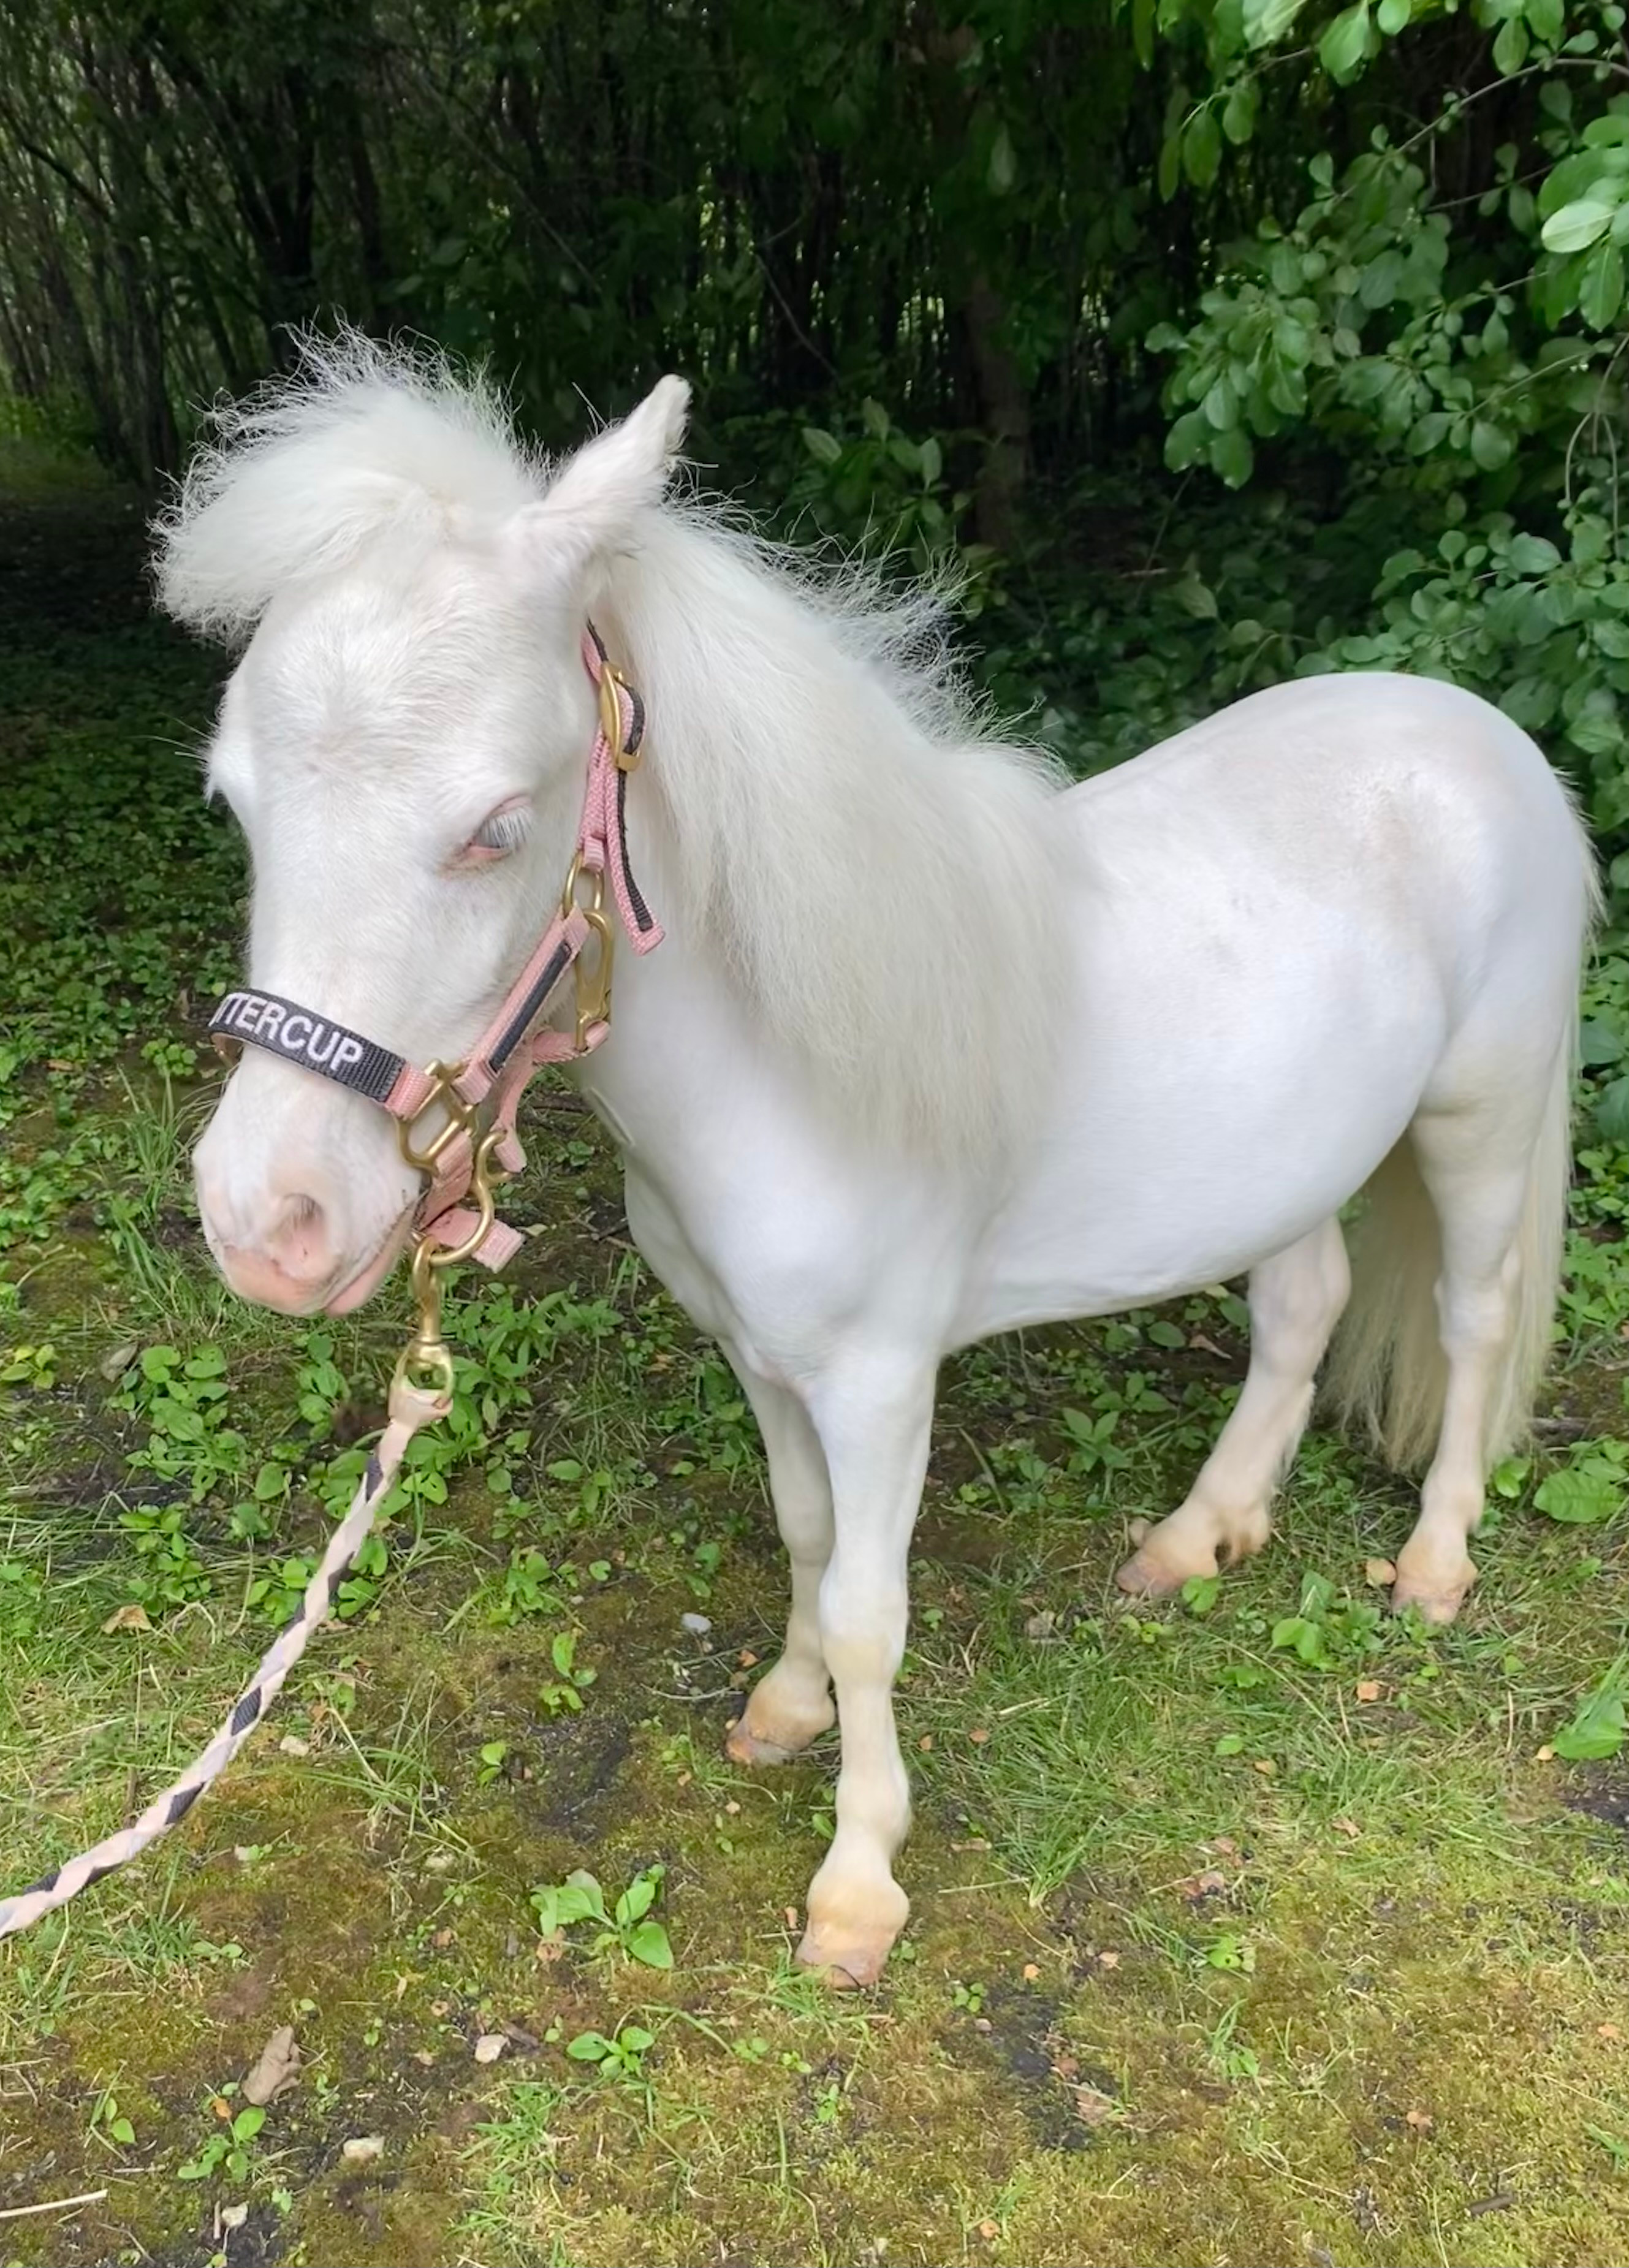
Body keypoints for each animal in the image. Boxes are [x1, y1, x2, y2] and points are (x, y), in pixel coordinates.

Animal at [161, 337, 1596, 1988]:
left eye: (496, 828)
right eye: (235, 800)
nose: (265, 1219)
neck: (787, 1061)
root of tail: (1481, 733)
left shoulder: (877, 1379)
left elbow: (865, 1602)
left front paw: (858, 1884)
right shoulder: (762, 1355)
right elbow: (801, 1537)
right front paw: (785, 1714)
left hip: (1478, 1121)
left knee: (1471, 1319)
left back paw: (1433, 1564)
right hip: (1289, 1163)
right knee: (1304, 1307)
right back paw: (1194, 1535)